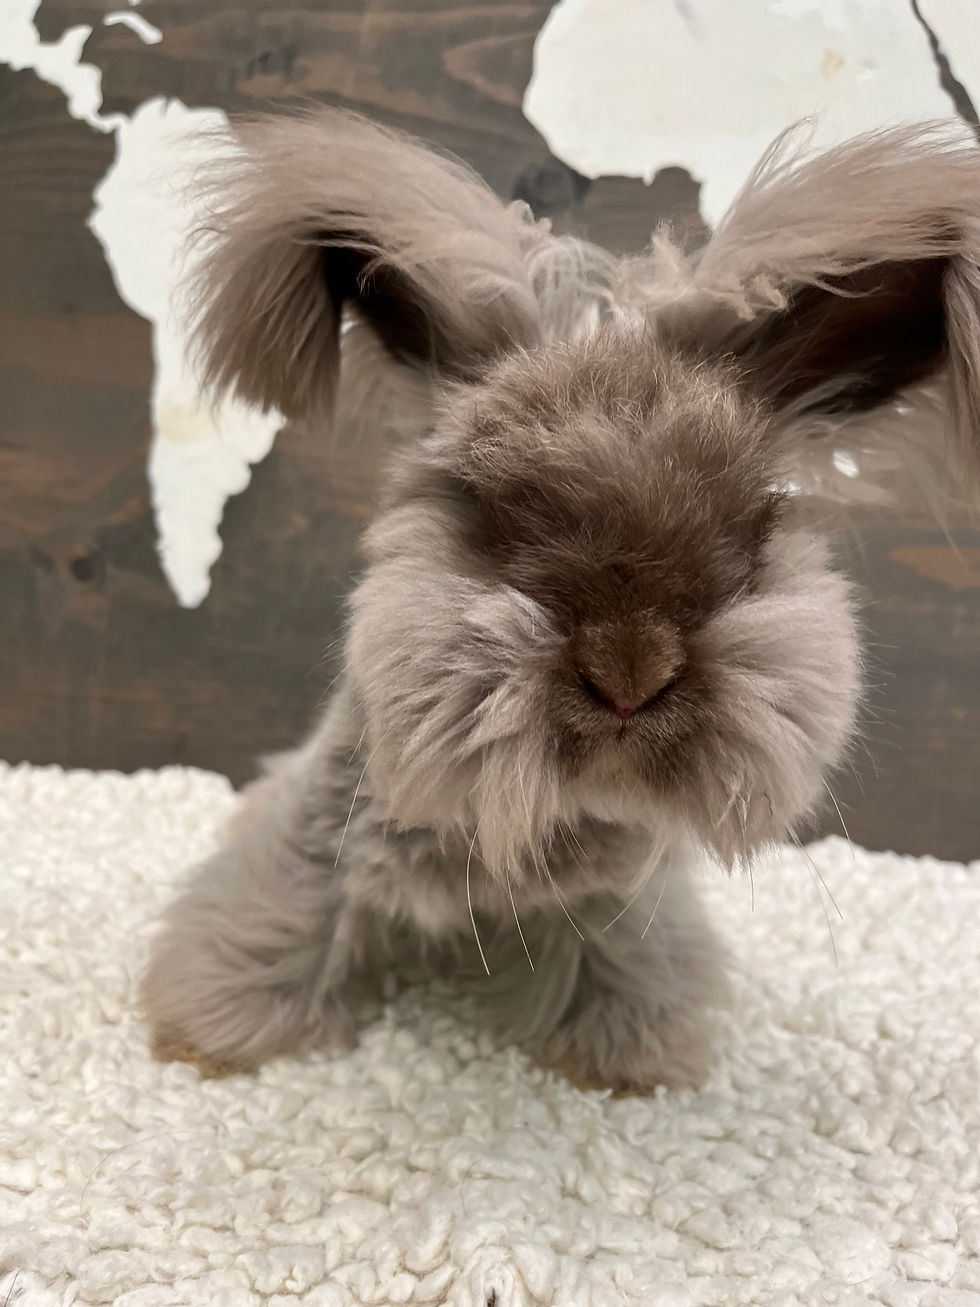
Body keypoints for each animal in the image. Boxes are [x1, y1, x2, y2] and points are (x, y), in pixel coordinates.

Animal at [141, 110, 980, 1094]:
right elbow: (286, 918)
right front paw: (215, 1033)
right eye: (487, 507)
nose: (629, 669)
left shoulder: (620, 904)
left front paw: (624, 1061)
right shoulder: (316, 846)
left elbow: (619, 967)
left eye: (753, 525)